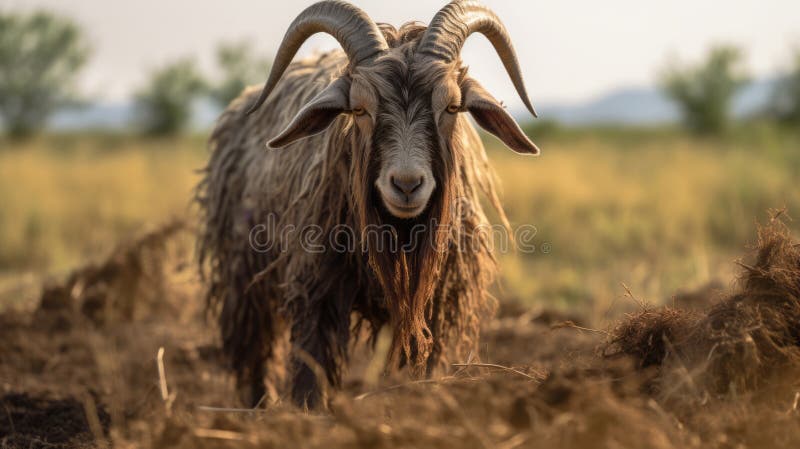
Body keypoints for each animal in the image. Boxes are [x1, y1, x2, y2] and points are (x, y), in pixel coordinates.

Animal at [197, 0, 540, 409]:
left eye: (452, 106)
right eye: (359, 109)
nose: (406, 184)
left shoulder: (441, 301)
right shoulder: (316, 288)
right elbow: (310, 367)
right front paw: (305, 414)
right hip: (243, 276)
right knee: (254, 347)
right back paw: (259, 404)